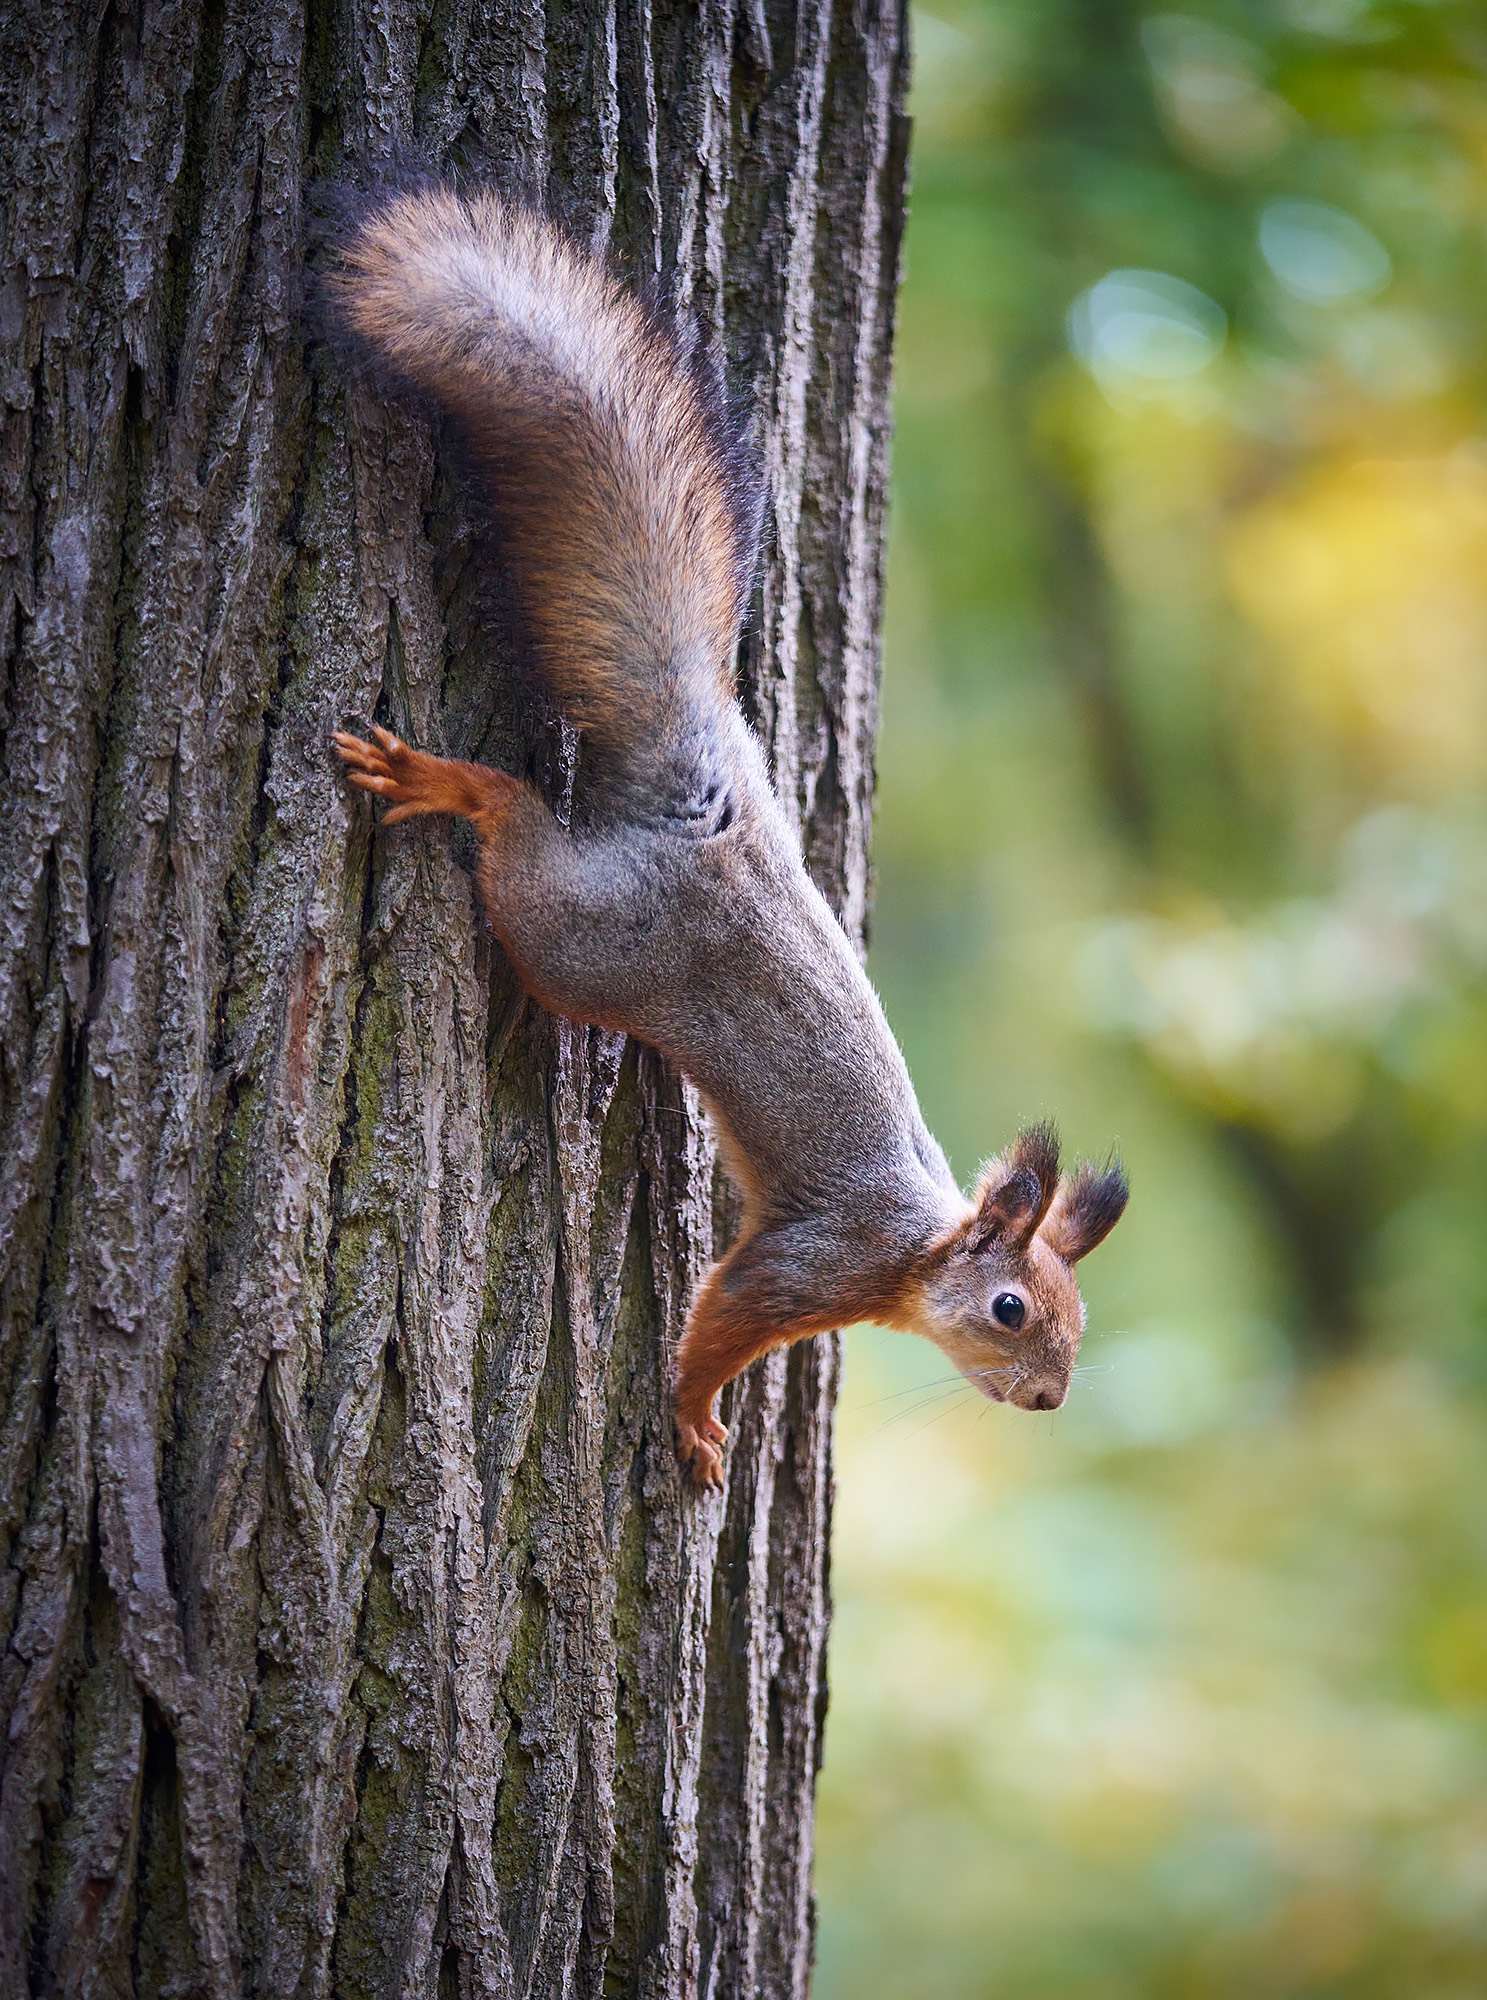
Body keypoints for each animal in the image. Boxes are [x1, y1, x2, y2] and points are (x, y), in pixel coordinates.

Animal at [325, 191, 1127, 1488]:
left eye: (1077, 1318)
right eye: (1012, 1308)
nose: (1050, 1397)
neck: (913, 1253)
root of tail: (709, 802)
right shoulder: (808, 1263)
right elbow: (720, 1319)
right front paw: (700, 1420)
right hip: (584, 940)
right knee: (516, 839)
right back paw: (445, 782)